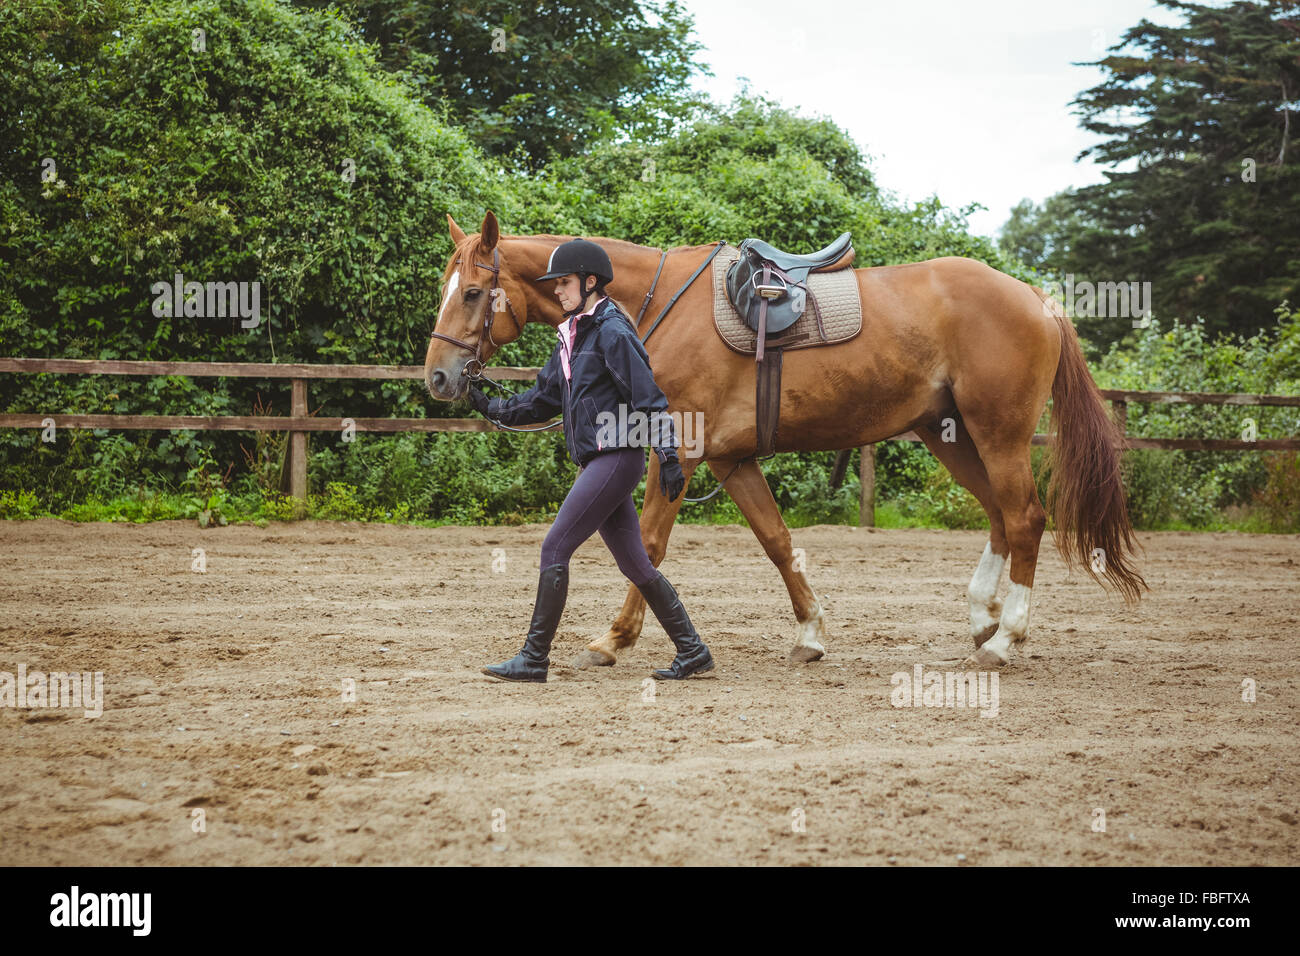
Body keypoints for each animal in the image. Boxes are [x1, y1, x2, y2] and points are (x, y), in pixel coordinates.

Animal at [423, 210, 1146, 670]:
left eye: (476, 292)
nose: (439, 377)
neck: (650, 304)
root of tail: (1036, 298)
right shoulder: (732, 460)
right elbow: (777, 542)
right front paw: (811, 633)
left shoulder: (682, 452)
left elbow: (649, 546)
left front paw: (614, 638)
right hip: (950, 434)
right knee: (1000, 515)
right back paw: (983, 620)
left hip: (996, 433)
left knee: (1024, 517)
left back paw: (1003, 640)